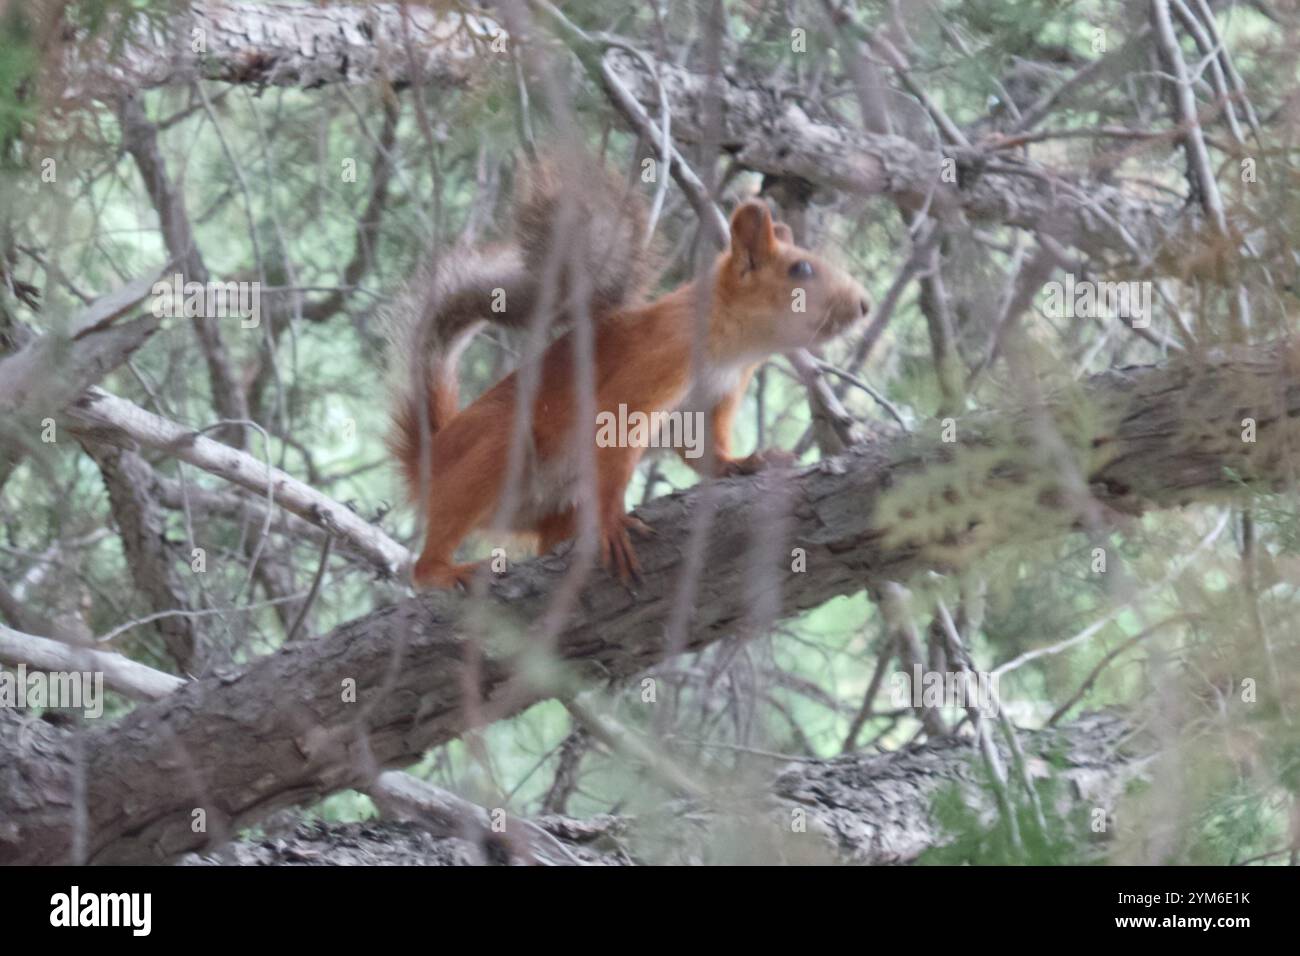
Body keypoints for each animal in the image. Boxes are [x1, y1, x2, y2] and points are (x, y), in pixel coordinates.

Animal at [386, 153, 870, 589]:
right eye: (800, 268)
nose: (865, 304)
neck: (733, 347)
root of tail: (430, 455)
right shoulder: (657, 363)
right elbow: (615, 433)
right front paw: (614, 523)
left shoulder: (710, 402)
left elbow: (703, 451)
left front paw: (745, 461)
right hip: (494, 452)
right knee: (429, 556)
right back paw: (446, 571)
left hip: (557, 504)